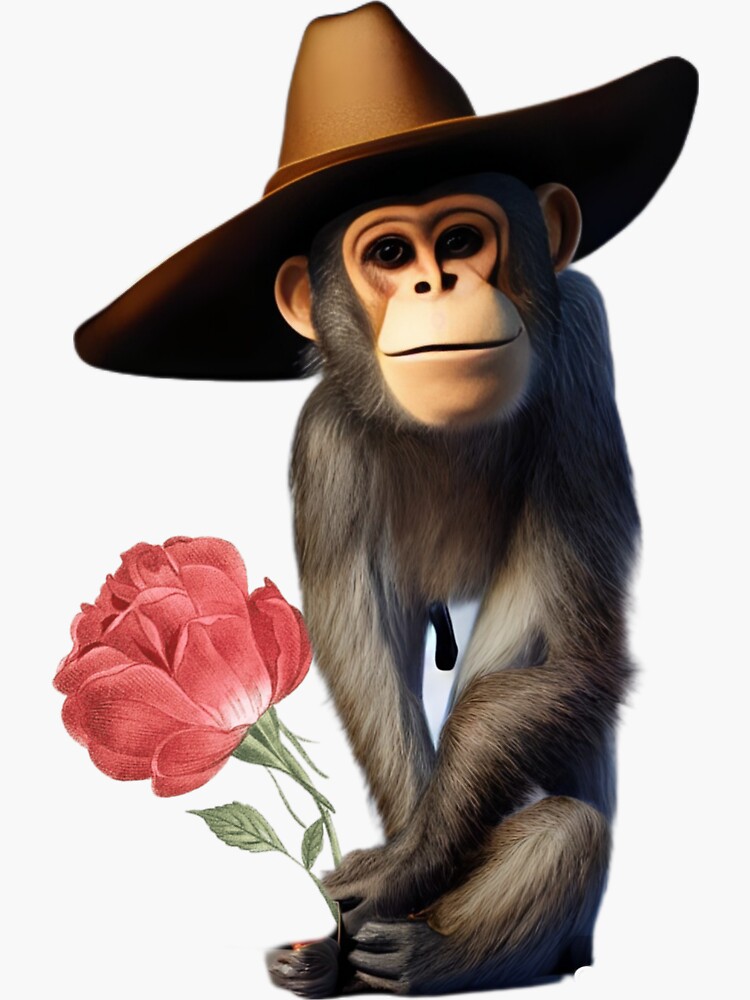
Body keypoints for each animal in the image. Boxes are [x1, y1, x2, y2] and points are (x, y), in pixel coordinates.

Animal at [265, 172, 639, 996]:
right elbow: (363, 656)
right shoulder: (323, 443)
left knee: (572, 832)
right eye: (391, 253)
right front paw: (374, 892)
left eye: (463, 239)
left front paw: (412, 863)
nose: (437, 283)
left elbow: (581, 657)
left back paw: (429, 949)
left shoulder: (581, 343)